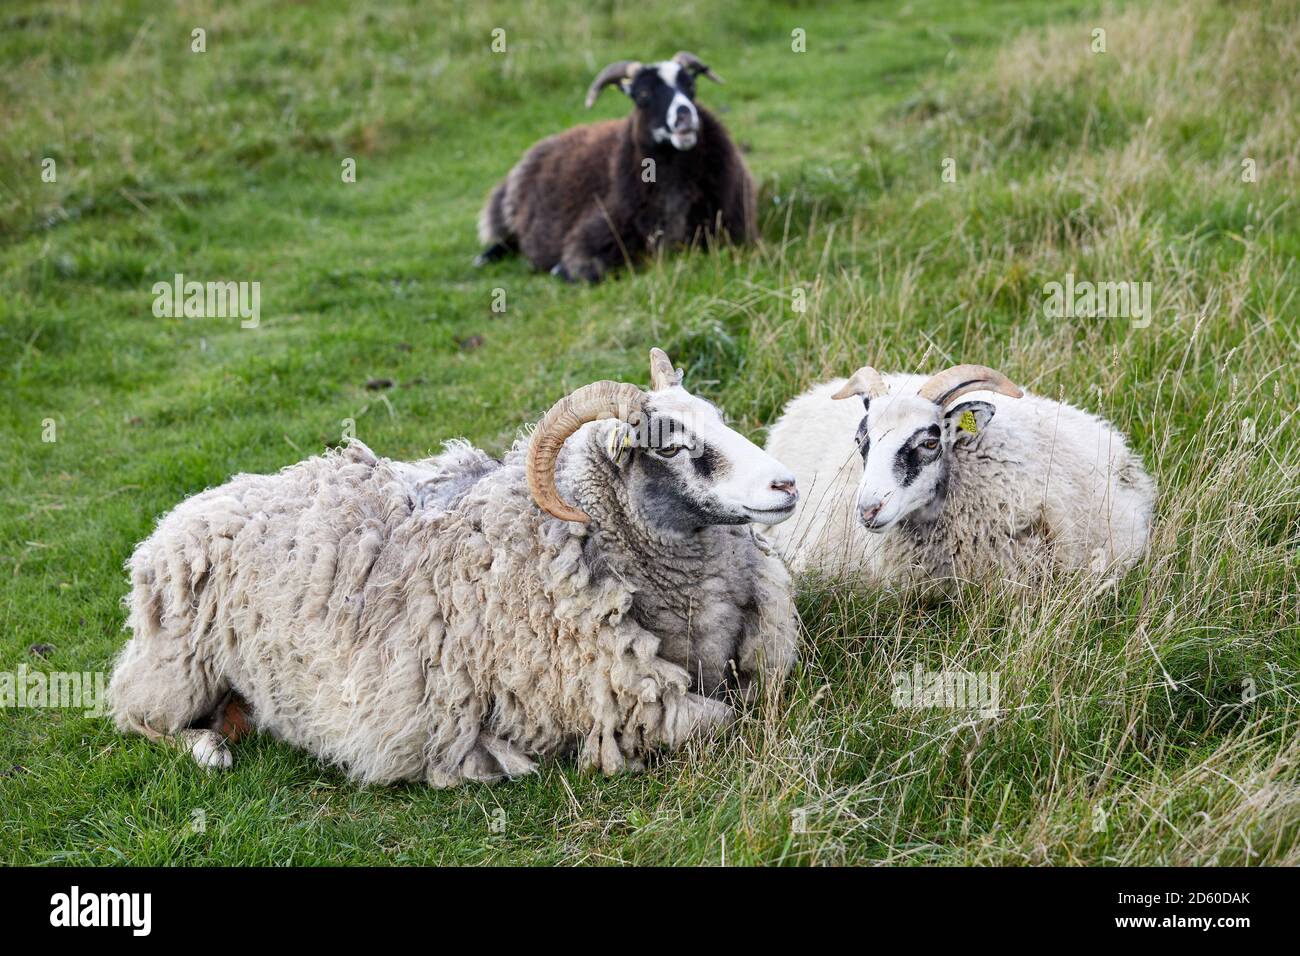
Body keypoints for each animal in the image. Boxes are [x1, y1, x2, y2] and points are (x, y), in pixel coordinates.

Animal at [108, 349, 800, 787]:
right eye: (673, 445)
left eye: (720, 419)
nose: (787, 483)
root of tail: (184, 510)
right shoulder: (629, 706)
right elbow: (720, 722)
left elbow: (755, 698)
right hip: (177, 667)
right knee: (134, 716)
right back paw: (208, 748)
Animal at [475, 51, 756, 282]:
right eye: (642, 94)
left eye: (691, 85)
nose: (685, 116)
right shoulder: (596, 231)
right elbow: (586, 270)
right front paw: (559, 269)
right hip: (508, 213)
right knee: (508, 239)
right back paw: (485, 258)